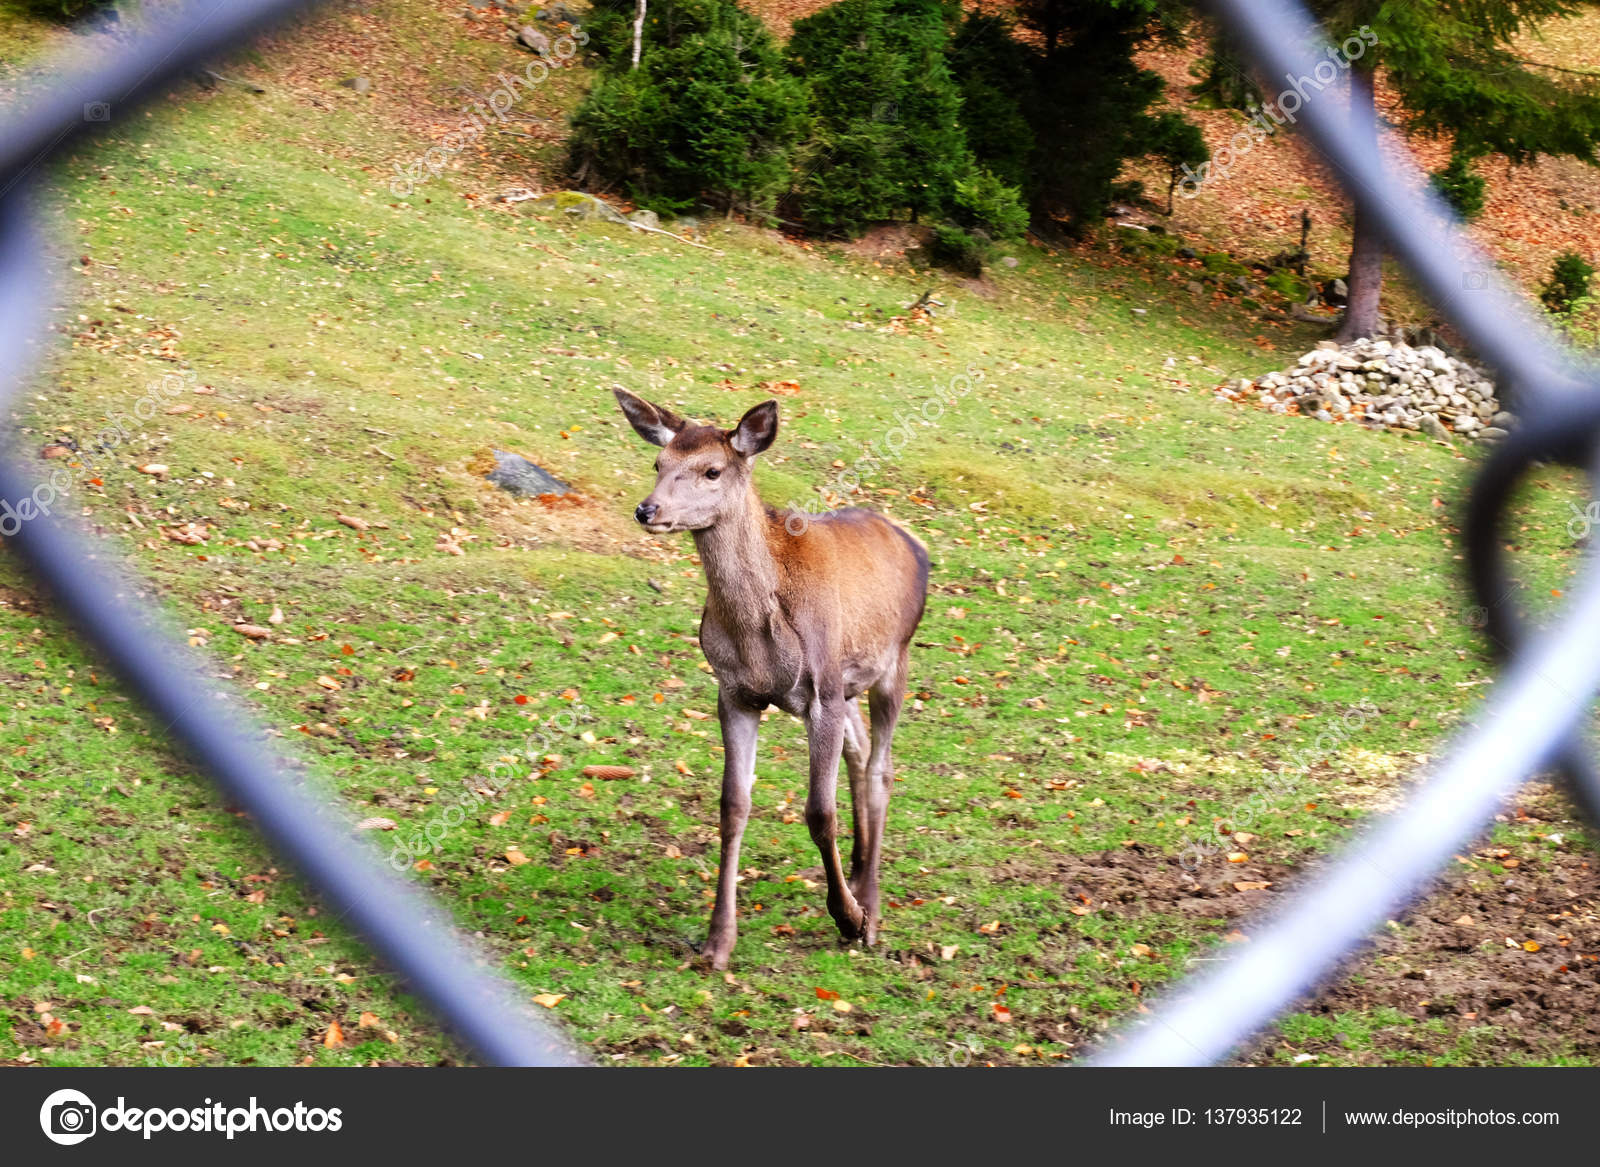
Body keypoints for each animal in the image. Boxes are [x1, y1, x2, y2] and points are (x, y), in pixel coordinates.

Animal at [614, 386, 929, 969]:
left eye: (712, 470)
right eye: (658, 463)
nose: (649, 509)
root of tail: (911, 539)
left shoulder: (821, 691)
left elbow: (819, 812)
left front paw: (847, 919)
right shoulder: (735, 693)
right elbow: (733, 806)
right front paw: (717, 941)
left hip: (894, 661)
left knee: (882, 768)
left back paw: (871, 910)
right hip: (847, 681)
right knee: (858, 755)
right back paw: (857, 877)